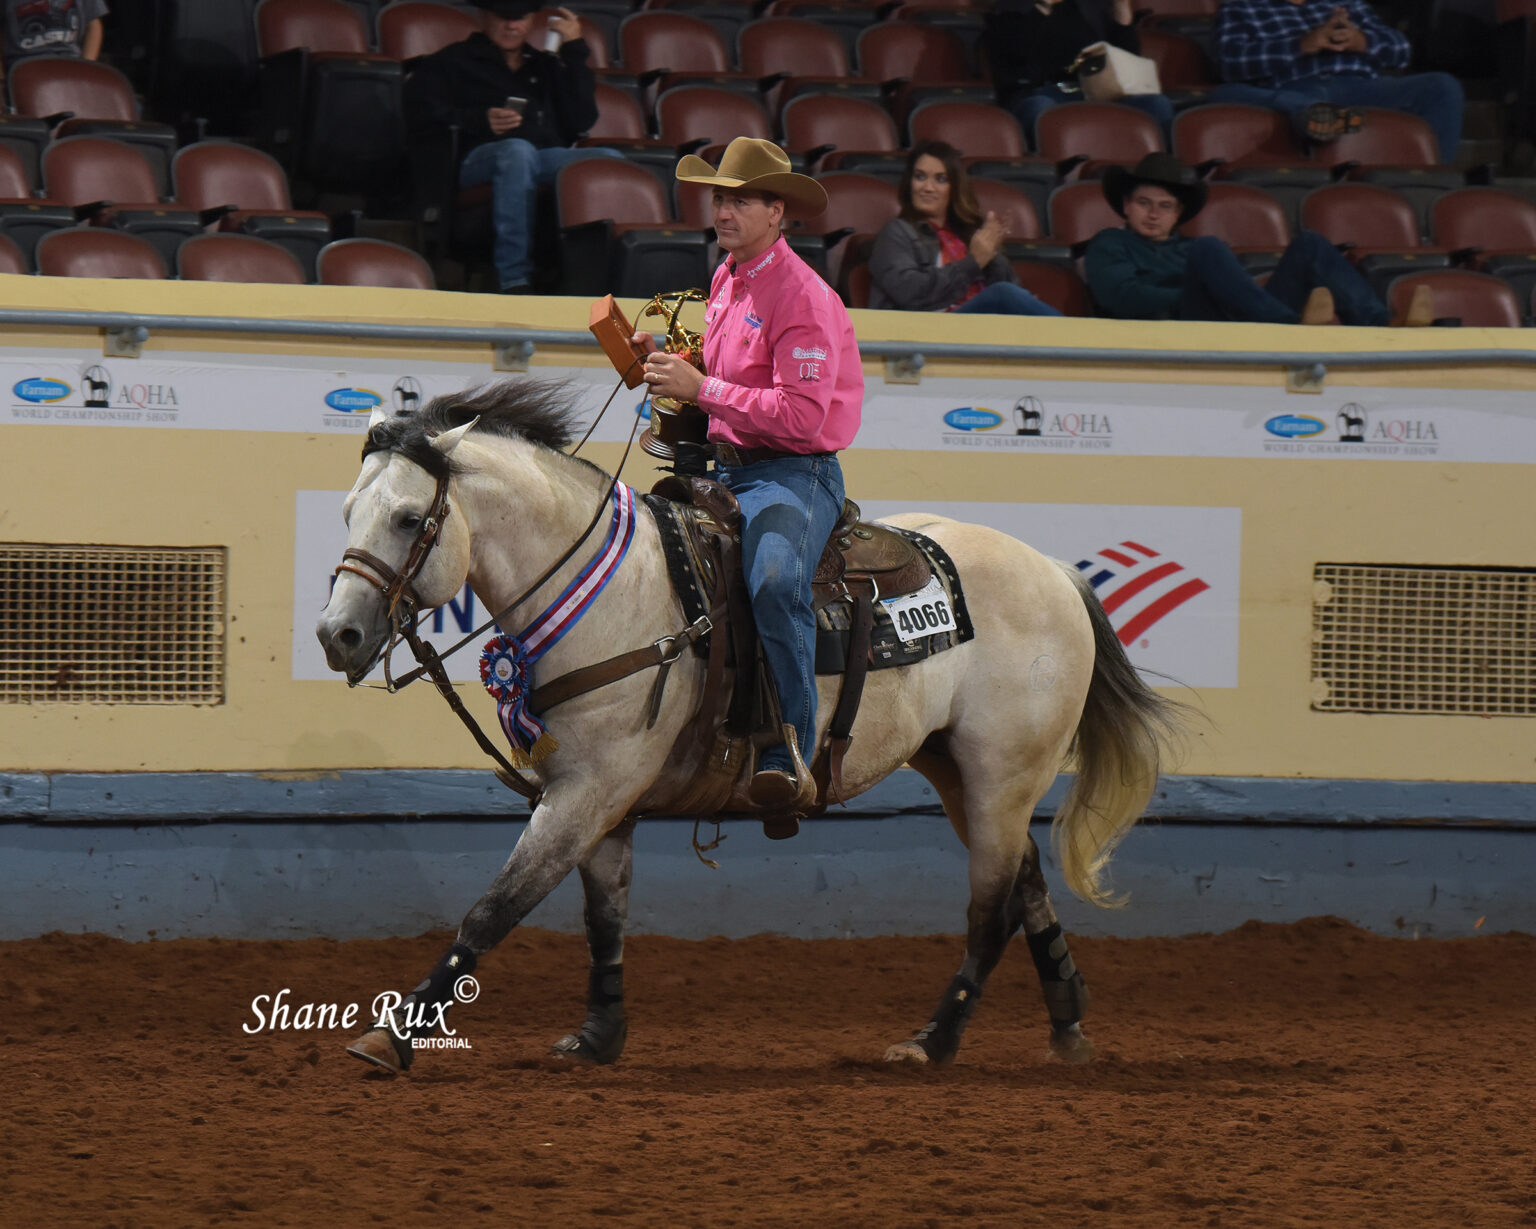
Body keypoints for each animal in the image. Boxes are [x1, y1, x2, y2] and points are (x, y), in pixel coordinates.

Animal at [315, 379, 1182, 1074]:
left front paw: (392, 1035)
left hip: (1002, 772)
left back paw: (932, 1041)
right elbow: (603, 916)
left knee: (991, 907)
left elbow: (495, 907)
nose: (337, 634)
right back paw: (1067, 1019)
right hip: (959, 771)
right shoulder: (596, 794)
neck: (611, 593)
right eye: (349, 511)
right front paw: (598, 1035)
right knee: (1027, 877)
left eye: (408, 517)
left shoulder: (587, 790)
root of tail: (1056, 573)